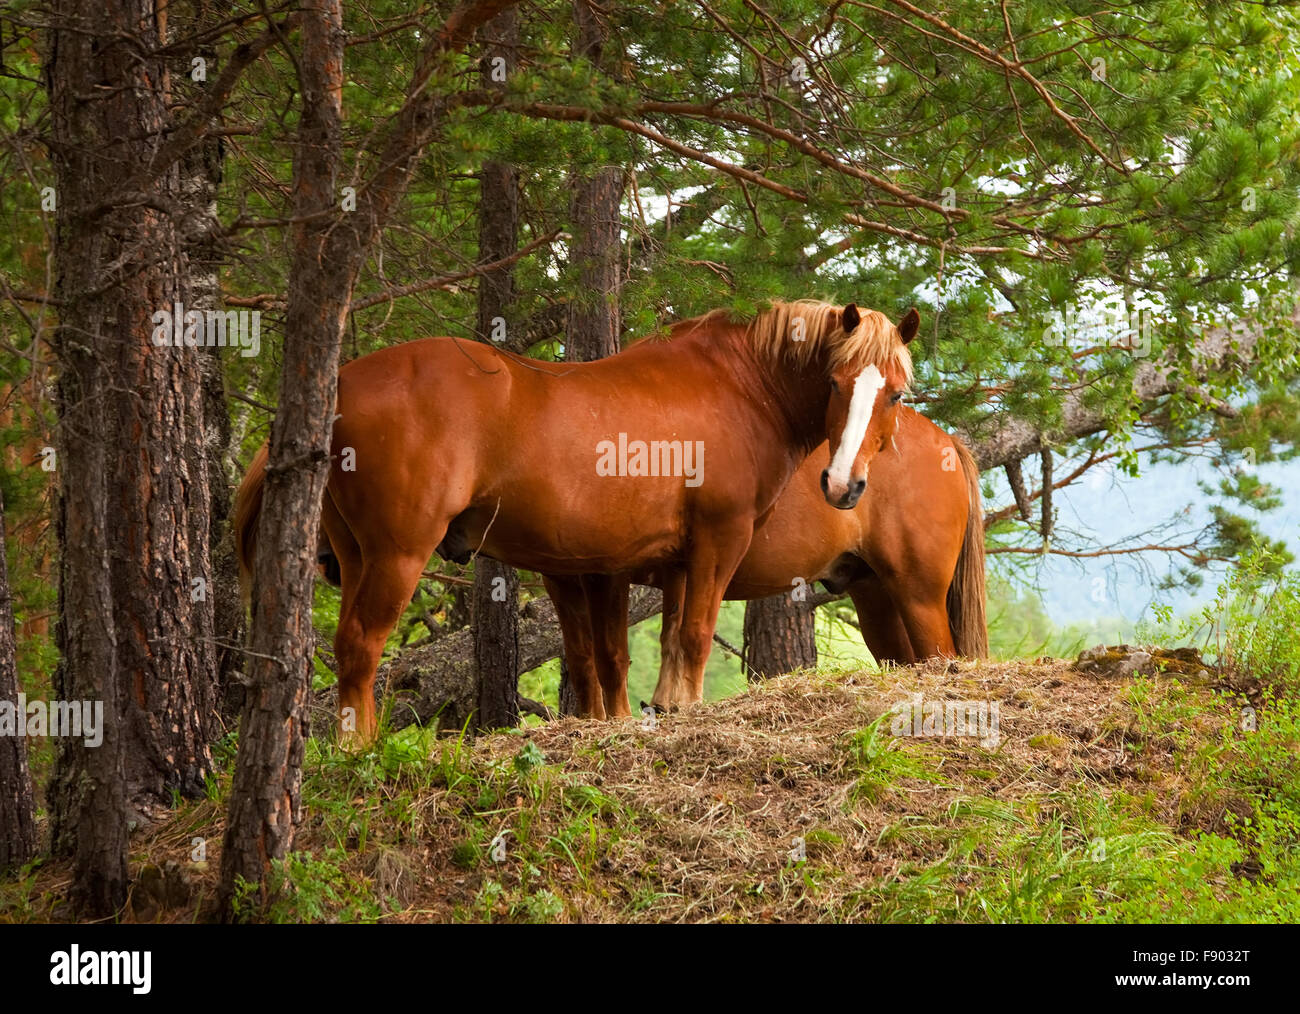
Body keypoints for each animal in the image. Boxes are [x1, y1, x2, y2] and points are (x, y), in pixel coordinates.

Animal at [234, 300, 918, 740]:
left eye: (894, 394)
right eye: (836, 384)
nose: (844, 485)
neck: (738, 387)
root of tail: (343, 383)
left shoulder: (656, 563)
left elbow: (651, 645)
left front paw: (664, 710)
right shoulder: (719, 542)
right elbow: (694, 637)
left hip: (354, 555)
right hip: (396, 554)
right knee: (360, 646)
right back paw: (362, 751)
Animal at [544, 406, 986, 717]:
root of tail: (947, 441)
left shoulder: (608, 575)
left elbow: (611, 656)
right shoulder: (563, 578)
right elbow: (584, 659)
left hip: (919, 596)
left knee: (942, 658)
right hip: (877, 598)